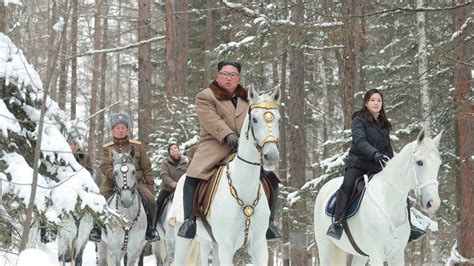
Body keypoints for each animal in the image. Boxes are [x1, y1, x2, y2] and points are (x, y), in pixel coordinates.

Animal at [172, 86, 280, 264]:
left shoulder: (259, 245)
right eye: (254, 119)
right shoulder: (226, 246)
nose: (271, 157)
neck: (244, 189)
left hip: (209, 242)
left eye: (279, 119)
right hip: (185, 238)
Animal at [312, 130, 442, 264]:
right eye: (420, 162)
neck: (388, 202)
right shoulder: (376, 254)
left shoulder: (397, 255)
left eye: (439, 164)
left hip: (361, 255)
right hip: (325, 246)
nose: (433, 203)